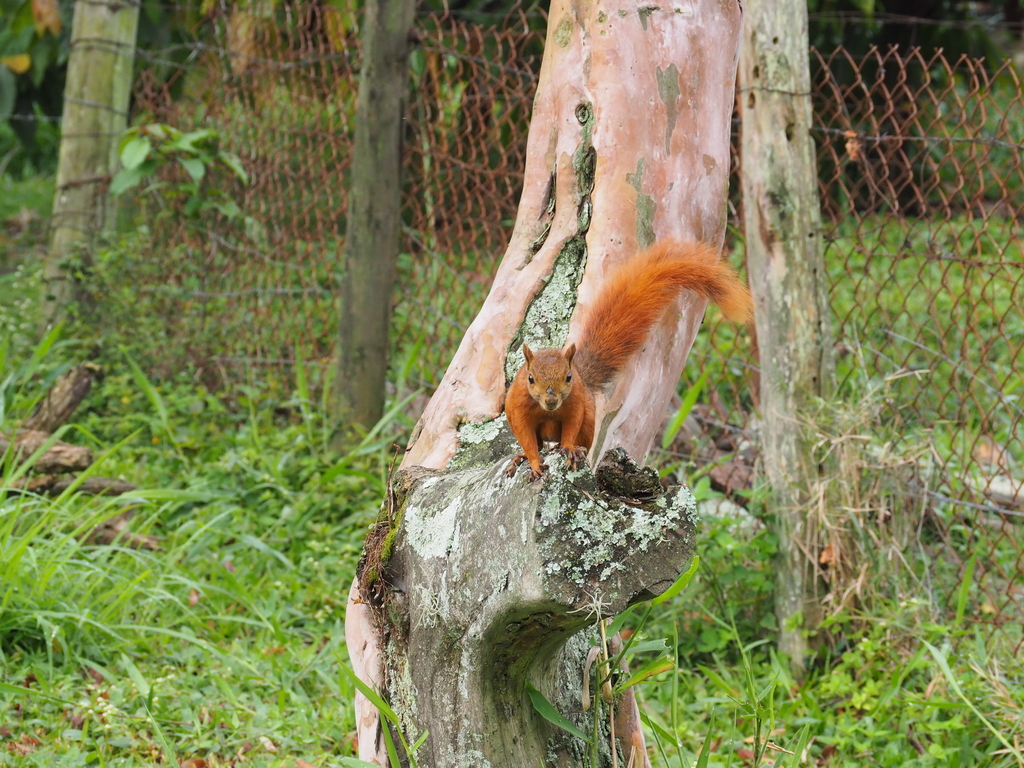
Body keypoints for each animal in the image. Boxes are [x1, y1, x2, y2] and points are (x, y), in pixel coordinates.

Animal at [504, 239, 752, 481]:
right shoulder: (519, 410)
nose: (551, 399)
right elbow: (527, 438)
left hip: (590, 418)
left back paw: (575, 450)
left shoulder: (575, 404)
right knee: (538, 444)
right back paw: (520, 458)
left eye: (568, 377)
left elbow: (571, 426)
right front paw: (534, 464)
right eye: (530, 378)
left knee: (582, 440)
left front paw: (569, 448)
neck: (548, 411)